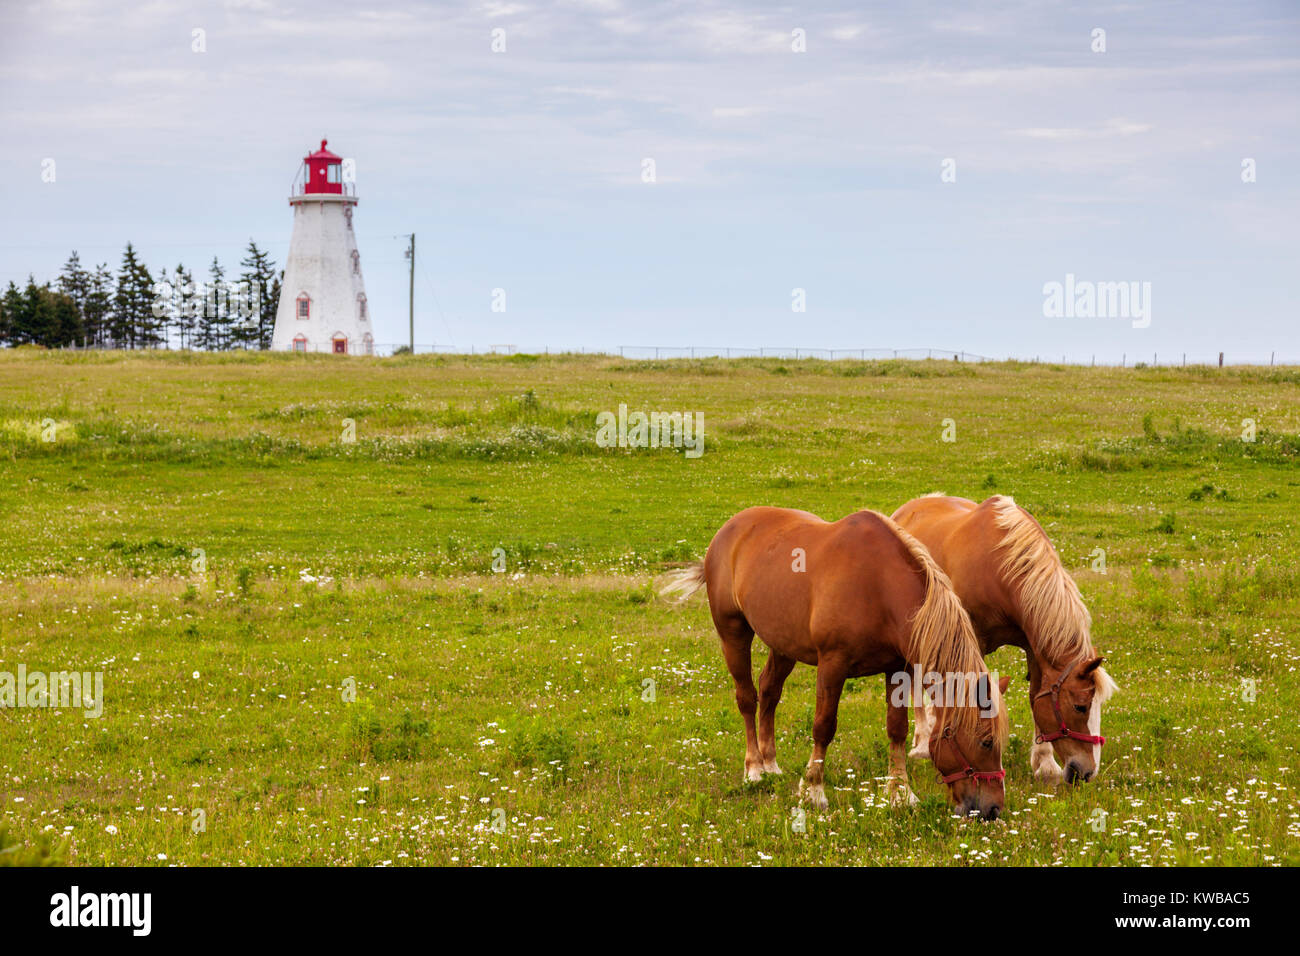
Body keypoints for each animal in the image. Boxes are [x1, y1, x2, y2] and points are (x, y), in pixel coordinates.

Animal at [662, 506, 1010, 820]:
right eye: (986, 742)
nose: (993, 809)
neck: (878, 586)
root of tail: (728, 531)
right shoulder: (832, 665)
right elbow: (823, 727)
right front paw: (813, 791)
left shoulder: (897, 668)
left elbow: (896, 728)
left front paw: (901, 793)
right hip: (733, 634)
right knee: (747, 698)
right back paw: (755, 768)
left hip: (783, 645)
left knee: (769, 692)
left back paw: (771, 762)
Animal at [891, 494, 1118, 785]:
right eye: (1080, 707)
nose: (1087, 772)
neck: (999, 567)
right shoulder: (971, 641)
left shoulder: (1033, 645)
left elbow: (1035, 695)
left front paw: (1045, 764)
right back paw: (921, 743)